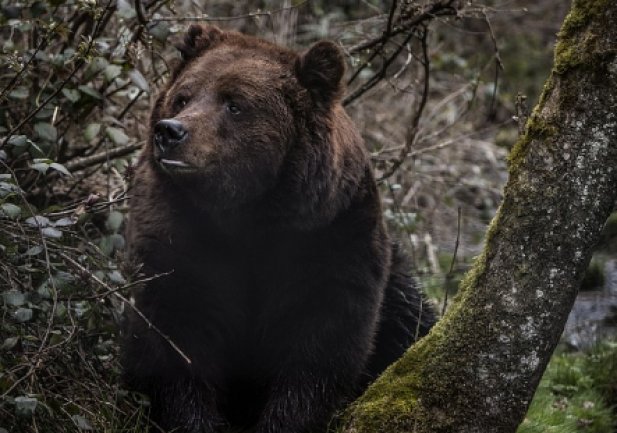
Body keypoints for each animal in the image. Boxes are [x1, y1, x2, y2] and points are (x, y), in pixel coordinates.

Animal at [122, 24, 434, 432]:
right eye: (182, 97)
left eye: (234, 103)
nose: (170, 132)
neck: (248, 215)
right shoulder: (180, 233)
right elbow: (176, 330)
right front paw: (197, 420)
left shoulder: (330, 235)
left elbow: (321, 342)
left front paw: (286, 420)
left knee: (410, 322)